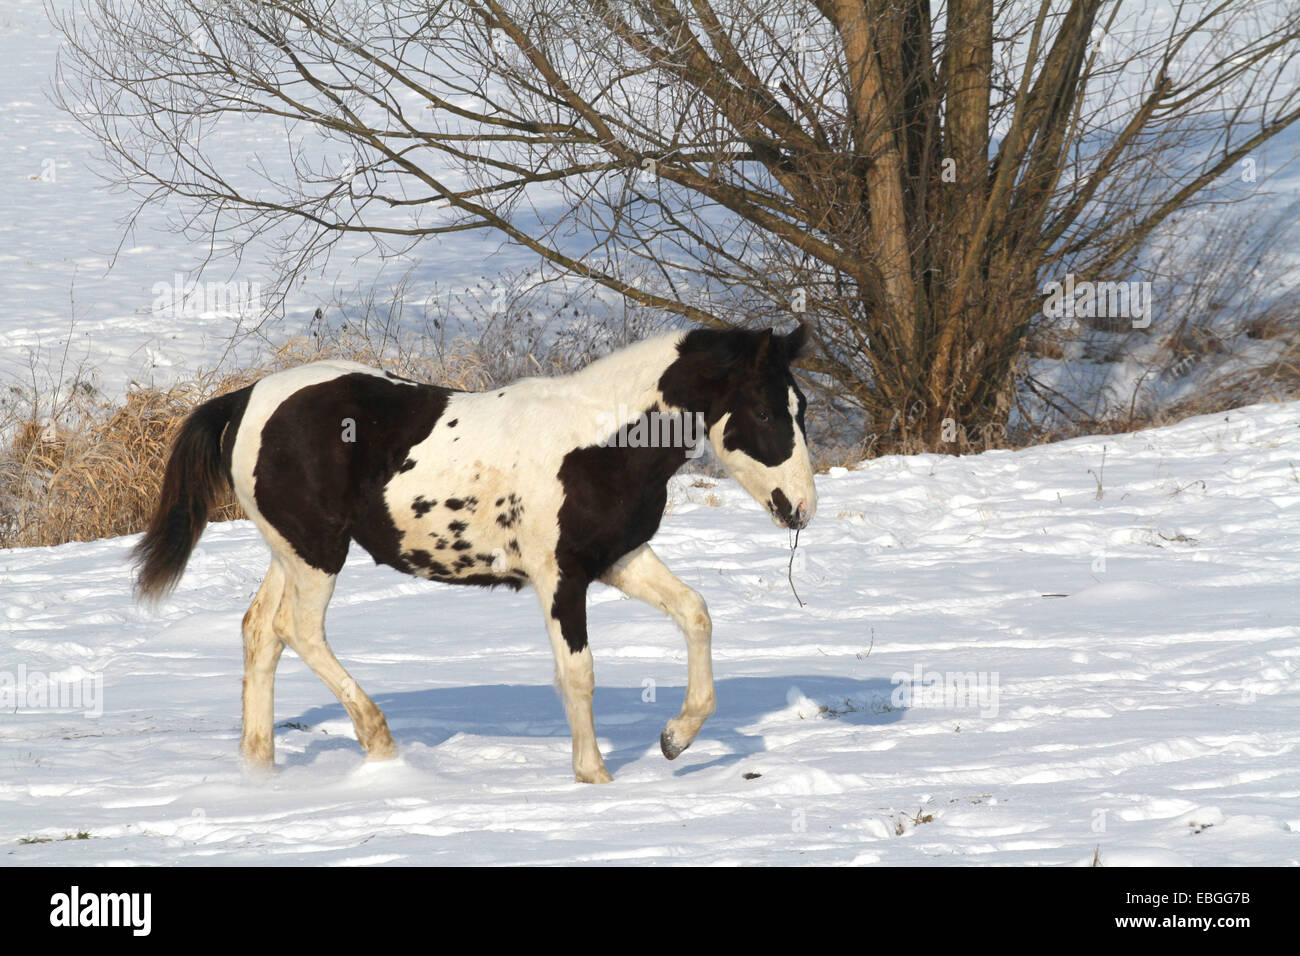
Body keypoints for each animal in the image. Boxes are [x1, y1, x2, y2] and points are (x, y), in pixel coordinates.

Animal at [132, 323, 817, 783]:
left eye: (801, 407)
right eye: (763, 411)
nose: (801, 508)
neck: (598, 442)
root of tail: (246, 398)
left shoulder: (619, 559)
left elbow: (695, 612)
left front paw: (676, 737)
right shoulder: (559, 576)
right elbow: (577, 673)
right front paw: (594, 776)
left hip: (292, 552)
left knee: (260, 631)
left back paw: (259, 770)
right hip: (316, 552)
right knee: (296, 629)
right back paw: (378, 742)